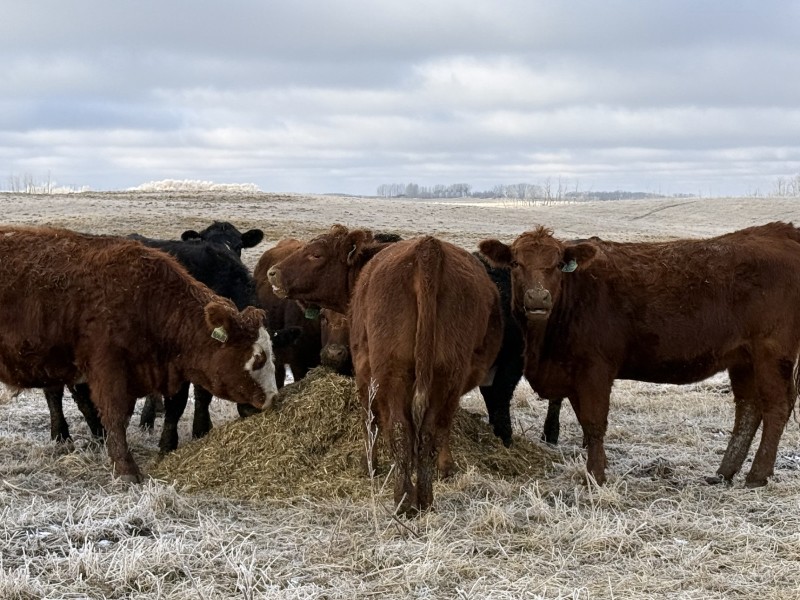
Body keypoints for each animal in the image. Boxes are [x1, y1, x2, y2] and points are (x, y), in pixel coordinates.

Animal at [0, 225, 279, 482]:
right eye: (258, 358)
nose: (272, 399)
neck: (143, 297)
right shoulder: (108, 370)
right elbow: (115, 414)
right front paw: (126, 469)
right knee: (56, 395)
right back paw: (63, 436)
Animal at [267, 225, 503, 514]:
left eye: (316, 254)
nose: (273, 272)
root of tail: (428, 249)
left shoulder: (363, 368)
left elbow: (371, 418)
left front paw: (369, 464)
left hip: (393, 371)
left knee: (400, 428)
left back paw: (403, 499)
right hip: (446, 373)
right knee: (431, 430)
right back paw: (425, 497)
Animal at [479, 222, 800, 487]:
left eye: (558, 264)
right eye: (516, 263)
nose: (538, 298)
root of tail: (780, 231)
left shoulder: (595, 370)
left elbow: (594, 422)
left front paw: (596, 476)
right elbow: (584, 421)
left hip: (771, 354)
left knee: (776, 408)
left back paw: (757, 475)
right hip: (743, 359)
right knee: (748, 409)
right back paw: (724, 473)